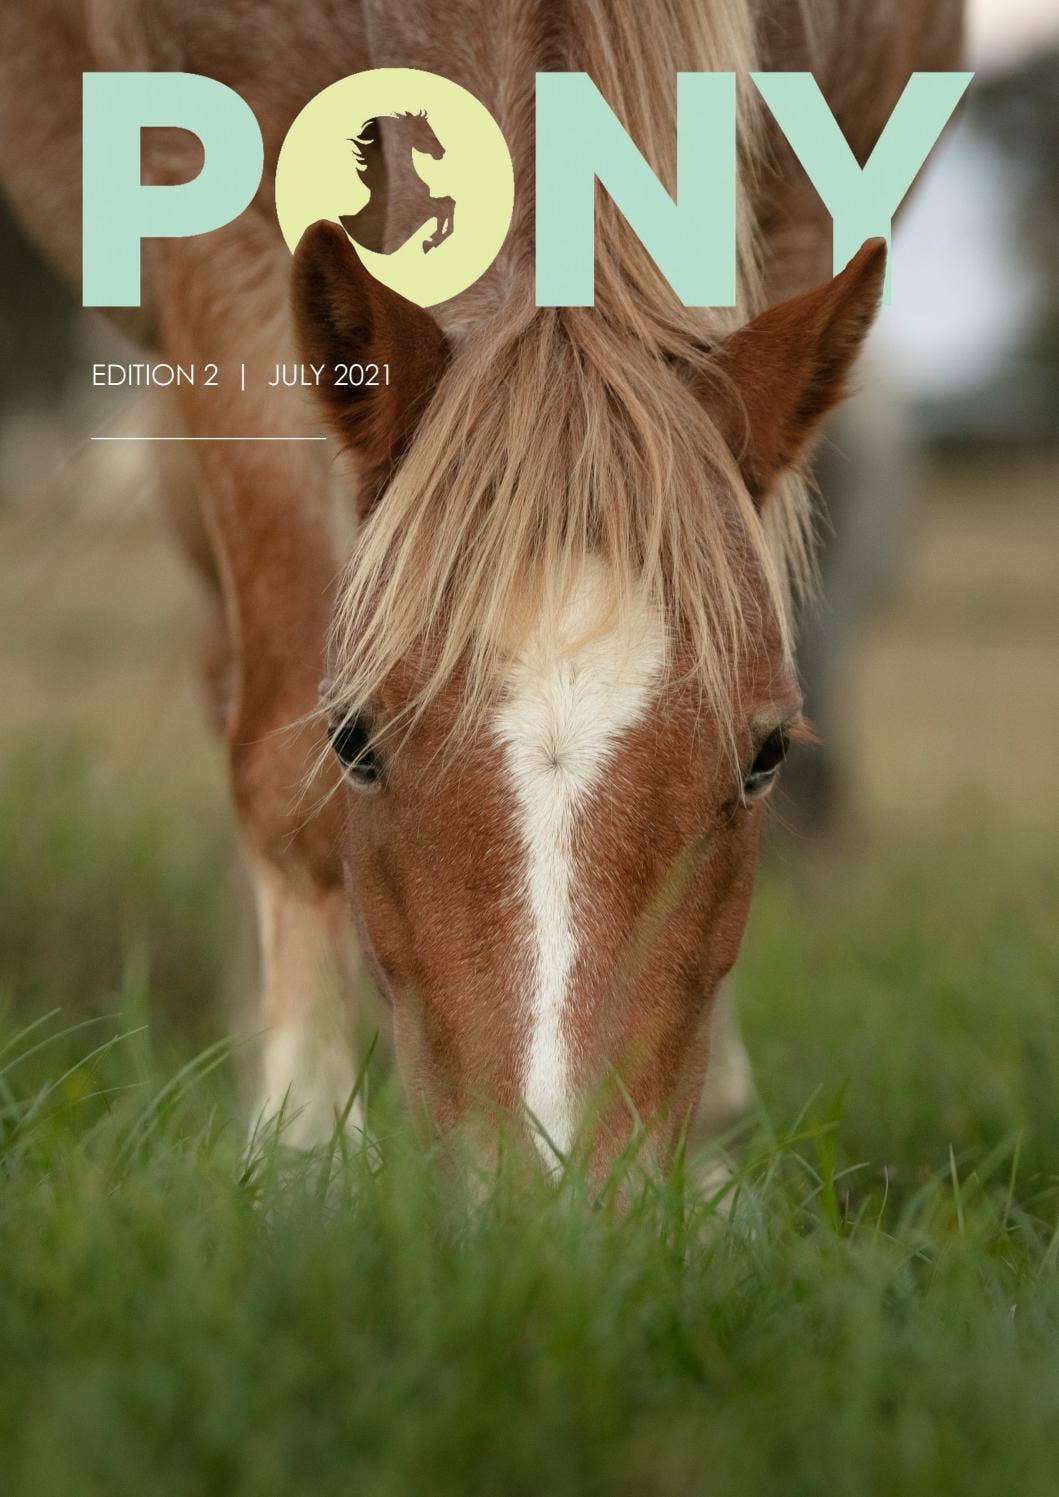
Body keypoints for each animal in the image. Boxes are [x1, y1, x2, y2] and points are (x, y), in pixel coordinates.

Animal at [340, 110, 456, 256]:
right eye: (428, 131)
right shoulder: (419, 209)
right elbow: (445, 207)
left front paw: (434, 238)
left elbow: (449, 202)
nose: (441, 151)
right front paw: (430, 242)